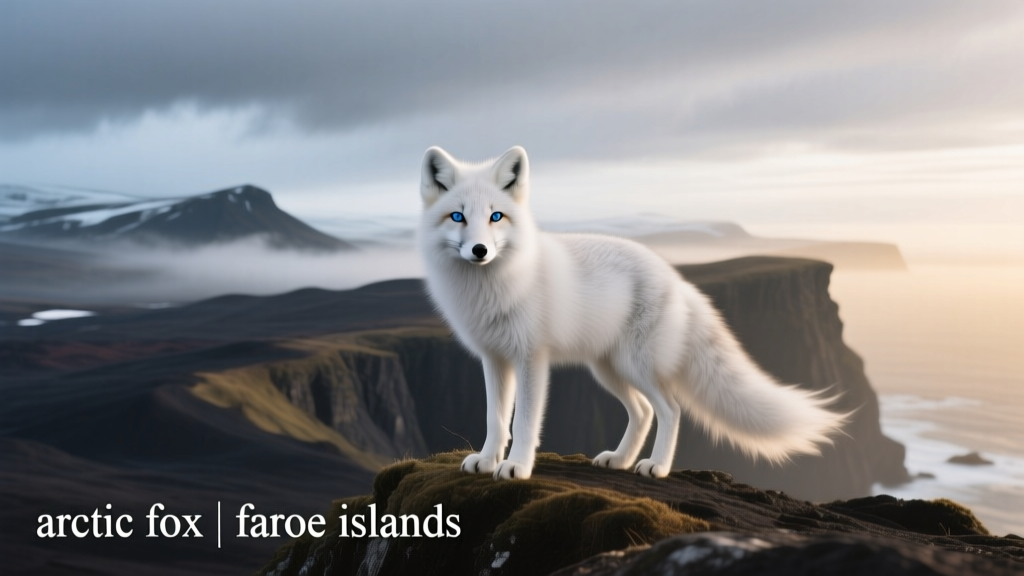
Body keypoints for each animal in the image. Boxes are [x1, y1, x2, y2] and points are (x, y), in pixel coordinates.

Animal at [418, 145, 847, 480]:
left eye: (496, 216)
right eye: (458, 216)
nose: (480, 251)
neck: (494, 286)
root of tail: (679, 280)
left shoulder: (531, 359)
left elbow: (523, 421)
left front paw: (517, 467)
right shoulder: (494, 359)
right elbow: (495, 418)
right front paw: (487, 460)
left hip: (636, 364)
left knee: (670, 410)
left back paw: (655, 467)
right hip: (609, 369)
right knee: (642, 413)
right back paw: (620, 460)